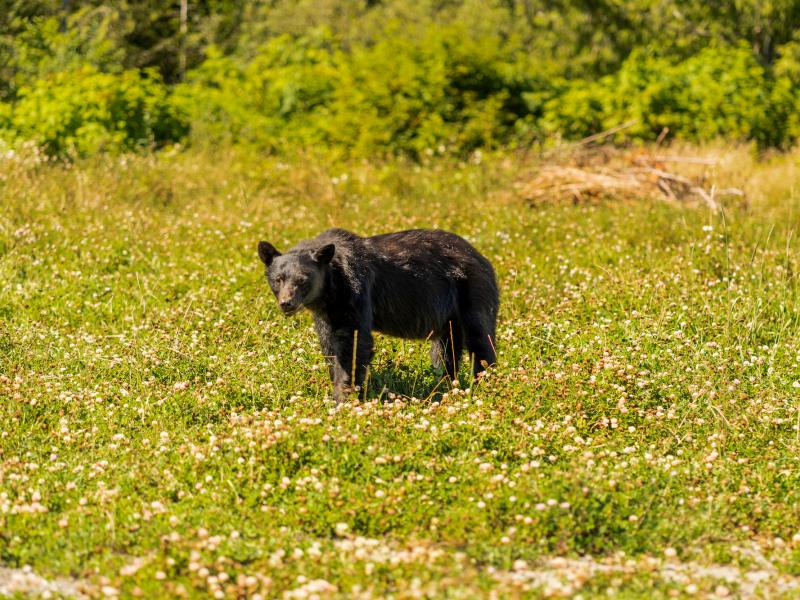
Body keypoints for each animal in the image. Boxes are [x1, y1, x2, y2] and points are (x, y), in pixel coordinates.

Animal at [257, 228, 499, 402]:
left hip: (471, 290)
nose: (286, 303)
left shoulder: (356, 291)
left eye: (302, 280)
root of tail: (482, 257)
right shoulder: (327, 311)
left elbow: (353, 342)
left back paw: (485, 383)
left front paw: (343, 396)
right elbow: (328, 344)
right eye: (278, 279)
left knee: (480, 339)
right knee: (446, 350)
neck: (331, 288)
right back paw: (446, 385)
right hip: (449, 315)